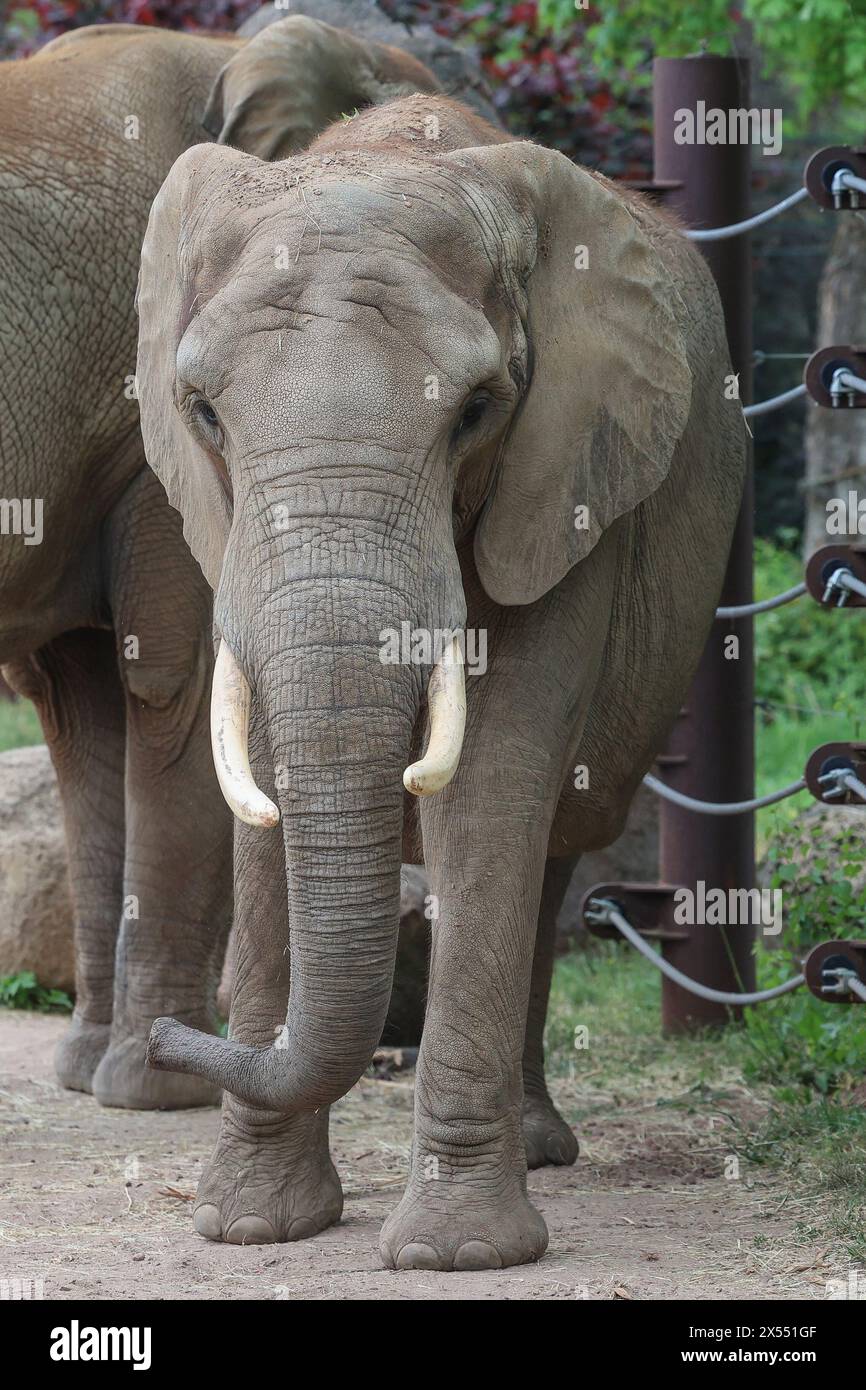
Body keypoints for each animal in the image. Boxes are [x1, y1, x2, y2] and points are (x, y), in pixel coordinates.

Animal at [136, 88, 746, 1269]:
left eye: (473, 408)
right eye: (203, 411)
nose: (164, 1035)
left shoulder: (569, 477)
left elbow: (493, 778)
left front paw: (455, 1254)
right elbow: (266, 778)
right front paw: (253, 1226)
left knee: (552, 845)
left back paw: (537, 1148)